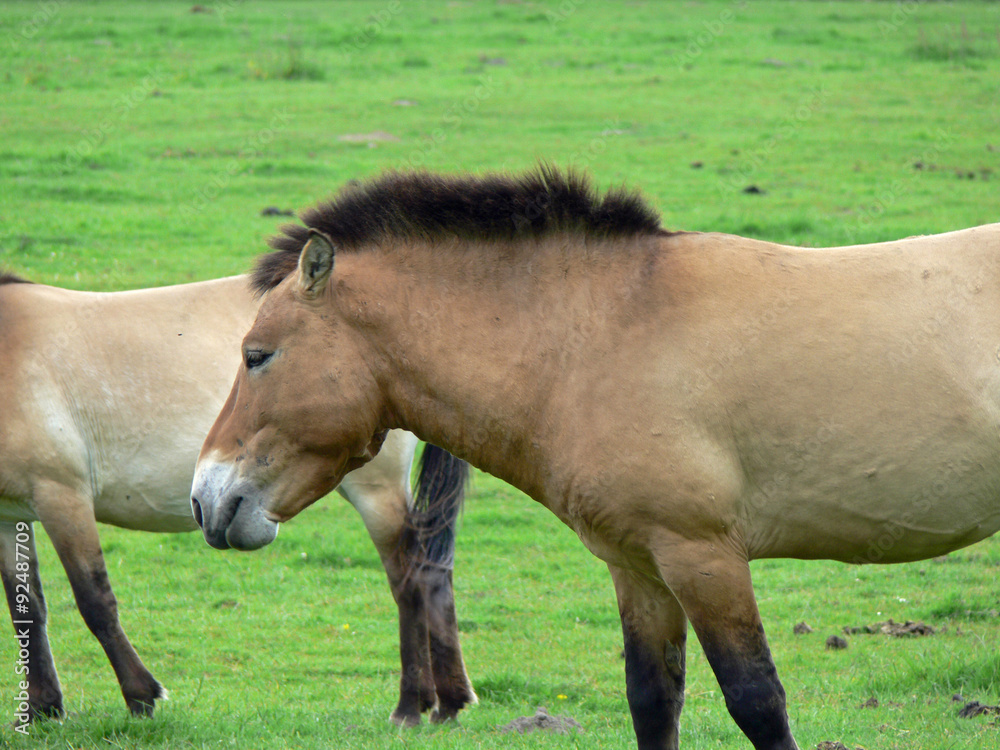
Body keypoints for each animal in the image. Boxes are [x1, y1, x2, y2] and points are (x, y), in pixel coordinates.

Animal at [0, 272, 476, 726]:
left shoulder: (62, 497)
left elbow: (95, 602)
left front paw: (140, 695)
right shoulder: (8, 519)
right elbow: (27, 610)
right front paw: (42, 708)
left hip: (376, 493)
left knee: (411, 581)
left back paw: (411, 704)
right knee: (434, 574)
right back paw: (449, 702)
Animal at [190, 165, 1000, 750]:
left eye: (256, 356)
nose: (205, 496)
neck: (603, 337)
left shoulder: (704, 558)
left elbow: (757, 701)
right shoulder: (638, 567)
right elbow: (654, 702)